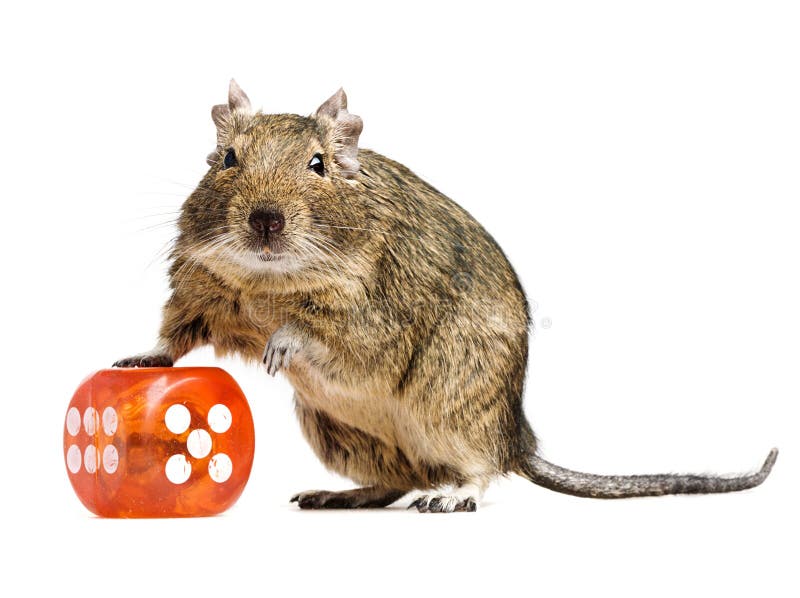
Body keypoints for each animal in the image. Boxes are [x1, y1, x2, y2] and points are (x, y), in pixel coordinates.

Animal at [114, 80, 777, 512]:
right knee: (397, 479)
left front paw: (284, 343)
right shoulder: (197, 292)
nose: (265, 221)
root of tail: (517, 437)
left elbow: (324, 337)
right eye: (228, 159)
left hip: (451, 406)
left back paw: (452, 495)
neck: (270, 280)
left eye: (319, 164)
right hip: (336, 430)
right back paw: (338, 494)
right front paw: (139, 358)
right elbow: (173, 336)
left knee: (475, 472)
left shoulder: (373, 319)